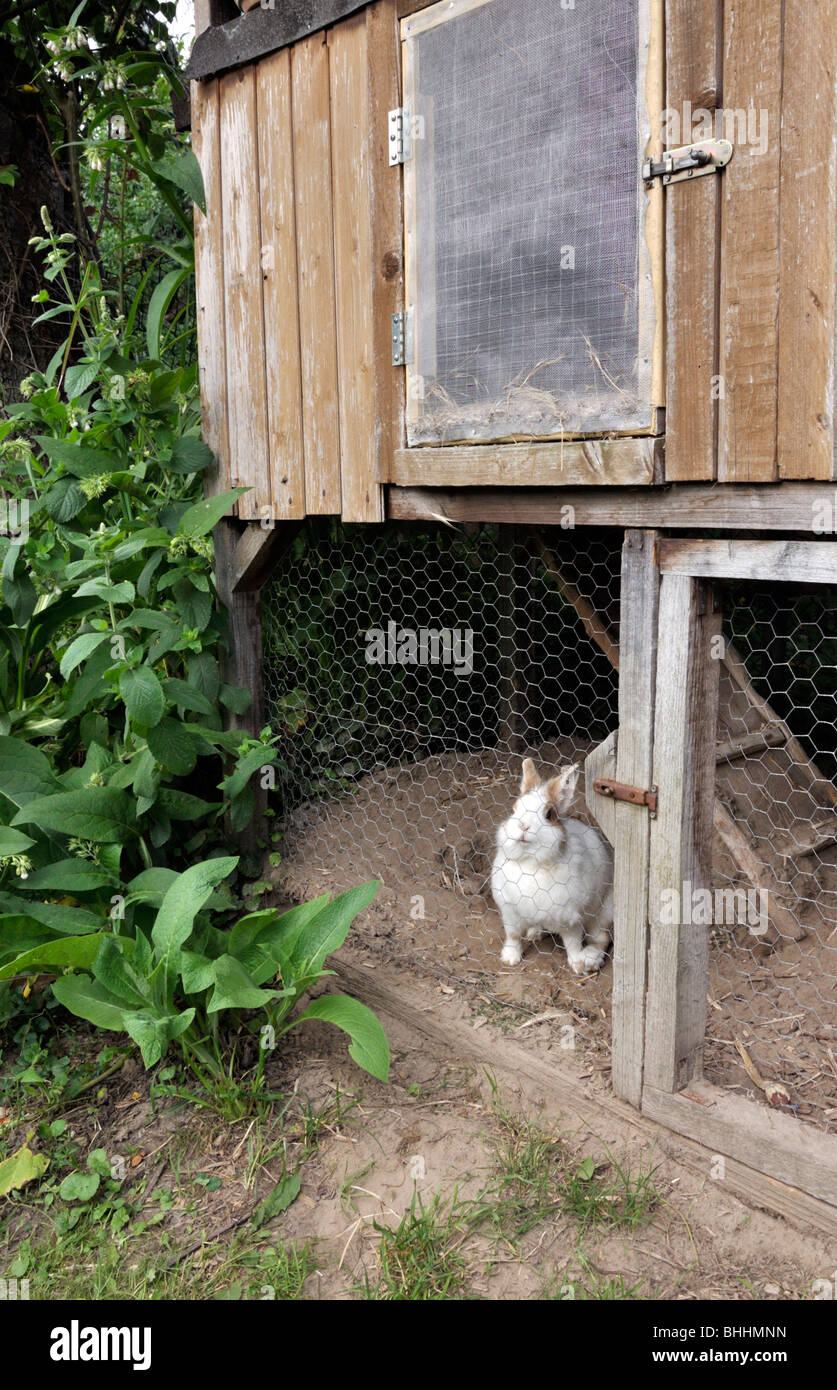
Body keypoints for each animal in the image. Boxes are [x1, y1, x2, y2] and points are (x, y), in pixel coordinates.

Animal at [491, 758, 613, 973]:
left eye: (549, 814)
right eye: (514, 809)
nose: (523, 826)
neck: (531, 863)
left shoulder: (570, 918)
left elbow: (573, 943)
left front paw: (577, 964)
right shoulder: (510, 912)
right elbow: (513, 936)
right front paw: (510, 959)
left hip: (603, 912)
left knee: (601, 938)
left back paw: (589, 960)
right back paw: (534, 933)